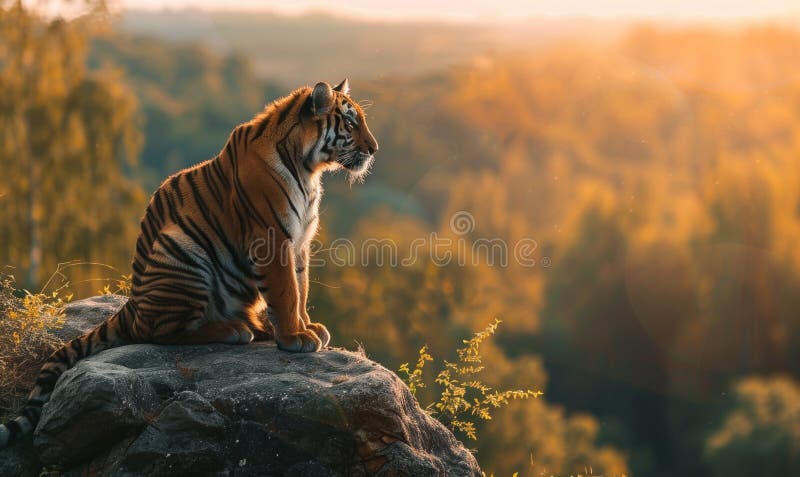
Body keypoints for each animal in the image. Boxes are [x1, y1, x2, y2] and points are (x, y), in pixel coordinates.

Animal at [0, 79, 378, 449]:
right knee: (159, 332)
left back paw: (256, 327)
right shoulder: (272, 240)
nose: (374, 149)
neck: (308, 167)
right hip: (181, 252)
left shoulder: (299, 245)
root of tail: (131, 305)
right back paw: (234, 330)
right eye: (350, 123)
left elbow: (300, 290)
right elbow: (286, 293)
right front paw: (294, 337)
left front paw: (307, 328)